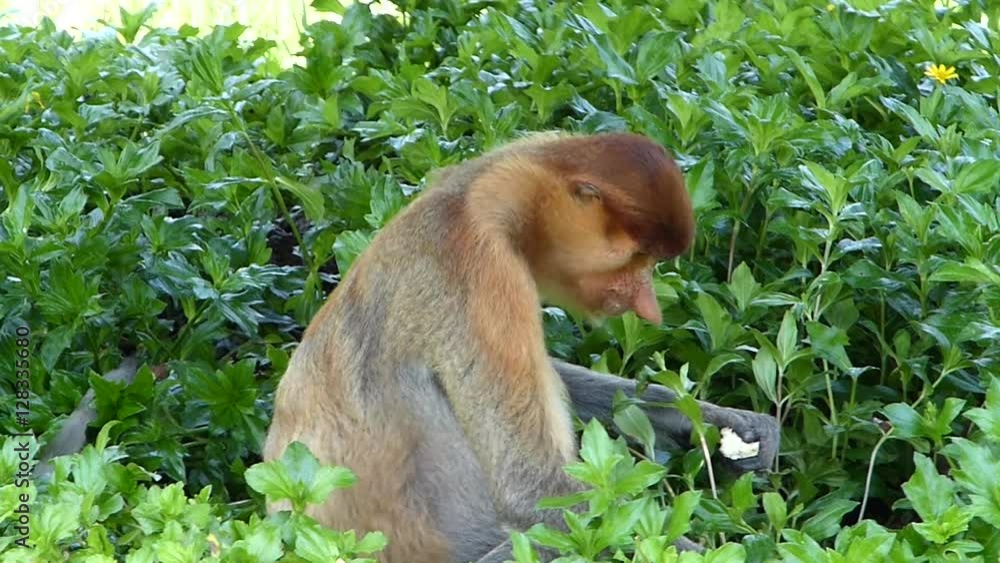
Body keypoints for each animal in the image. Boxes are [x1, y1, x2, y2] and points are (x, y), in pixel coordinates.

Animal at [262, 131, 779, 563]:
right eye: (637, 257)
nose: (648, 308)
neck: (480, 195)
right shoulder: (482, 273)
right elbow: (533, 488)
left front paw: (736, 428)